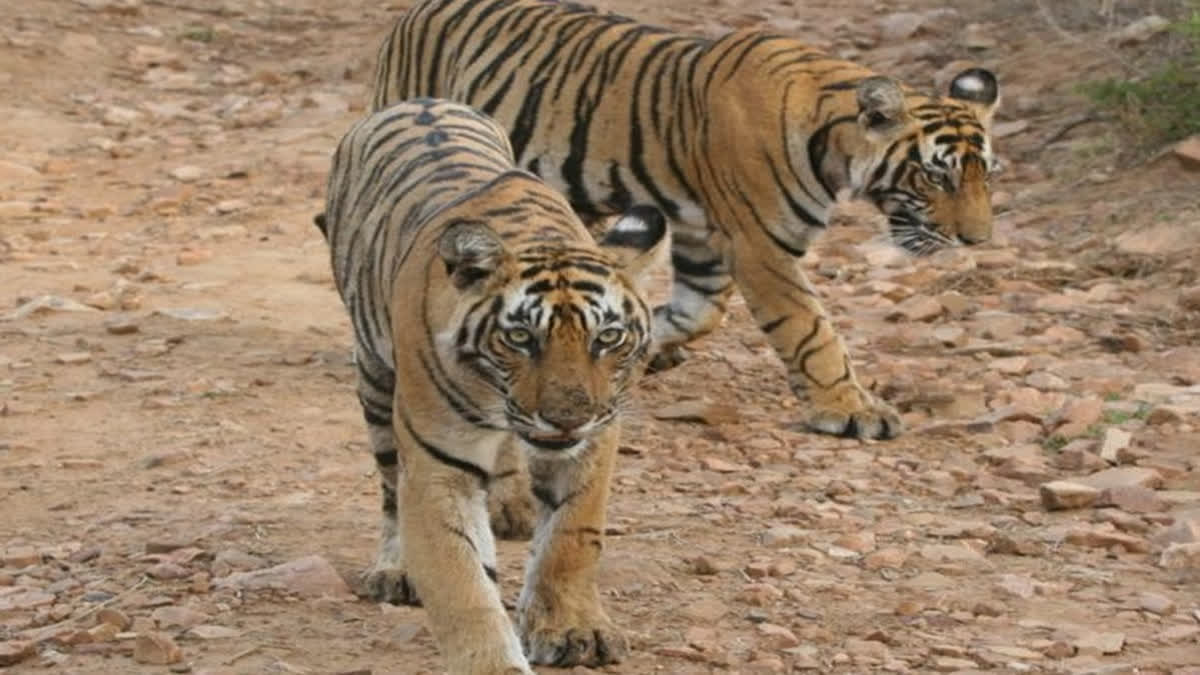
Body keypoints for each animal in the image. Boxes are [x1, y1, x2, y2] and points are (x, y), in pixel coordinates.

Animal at [317, 98, 667, 673]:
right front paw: (492, 660)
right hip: (374, 377)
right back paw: (396, 568)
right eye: (520, 337)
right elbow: (461, 582)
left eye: (608, 337)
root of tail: (420, 100)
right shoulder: (438, 465)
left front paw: (573, 628)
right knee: (390, 488)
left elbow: (572, 537)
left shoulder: (593, 442)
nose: (567, 418)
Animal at [371, 0, 1002, 440]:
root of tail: (417, 12)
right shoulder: (760, 248)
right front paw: (851, 411)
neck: (834, 141)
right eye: (938, 176)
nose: (976, 240)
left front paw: (649, 346)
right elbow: (812, 332)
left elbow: (697, 312)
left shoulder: (704, 238)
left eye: (986, 174)